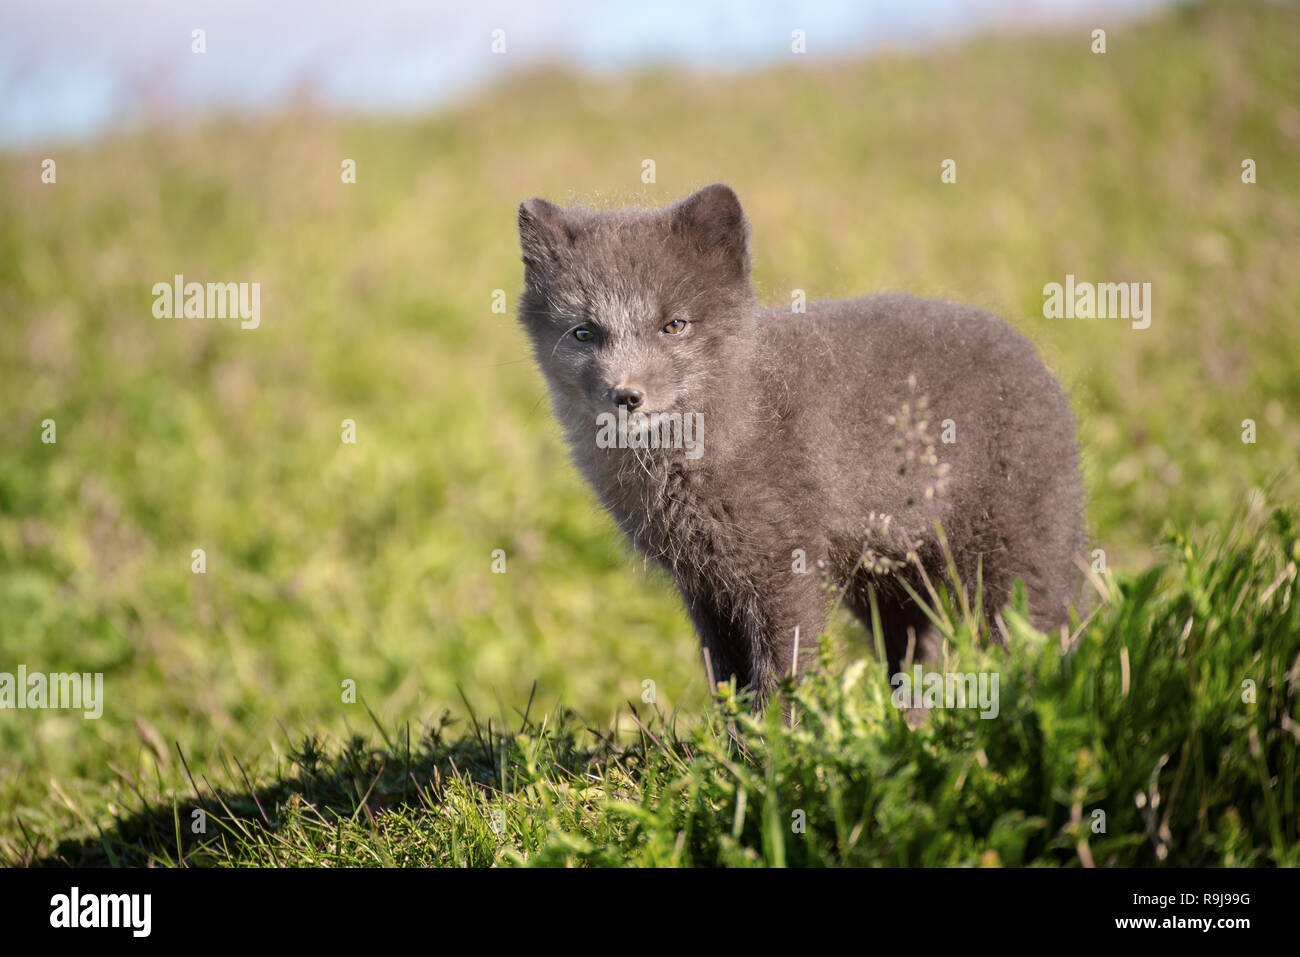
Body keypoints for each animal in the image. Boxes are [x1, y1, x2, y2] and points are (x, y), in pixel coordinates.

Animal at [515, 183, 1086, 699]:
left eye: (673, 325)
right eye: (584, 332)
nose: (626, 395)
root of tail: (1037, 363)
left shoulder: (784, 570)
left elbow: (781, 676)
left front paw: (778, 744)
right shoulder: (705, 585)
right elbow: (728, 683)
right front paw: (735, 746)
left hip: (1010, 560)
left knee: (1043, 640)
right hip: (889, 576)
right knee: (917, 658)